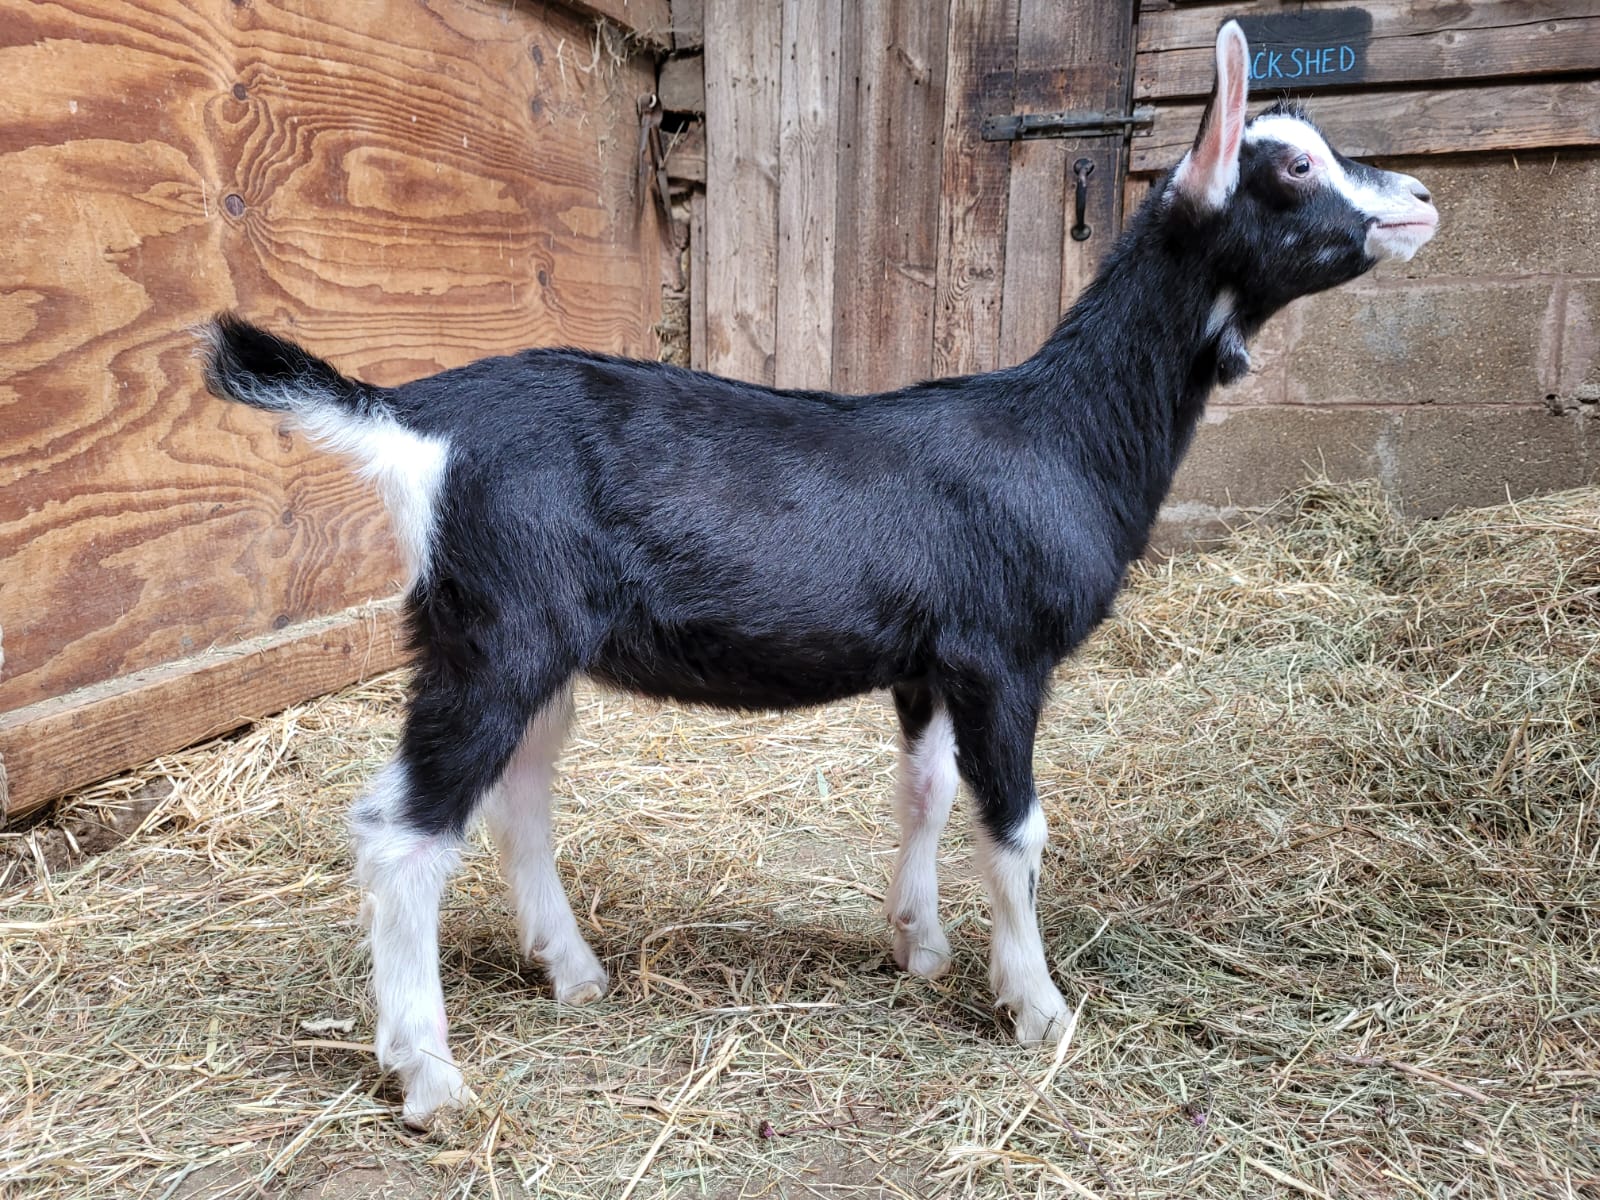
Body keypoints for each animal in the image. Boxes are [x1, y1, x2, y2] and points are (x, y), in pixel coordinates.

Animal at [202, 22, 1436, 1127]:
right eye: (1293, 165)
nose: (1421, 198)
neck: (1059, 432)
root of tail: (417, 420)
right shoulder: (1002, 654)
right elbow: (1016, 827)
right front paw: (1037, 1006)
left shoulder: (928, 662)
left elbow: (925, 791)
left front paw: (922, 945)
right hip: (496, 634)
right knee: (401, 833)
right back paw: (430, 1077)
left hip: (526, 641)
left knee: (518, 797)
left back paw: (572, 970)